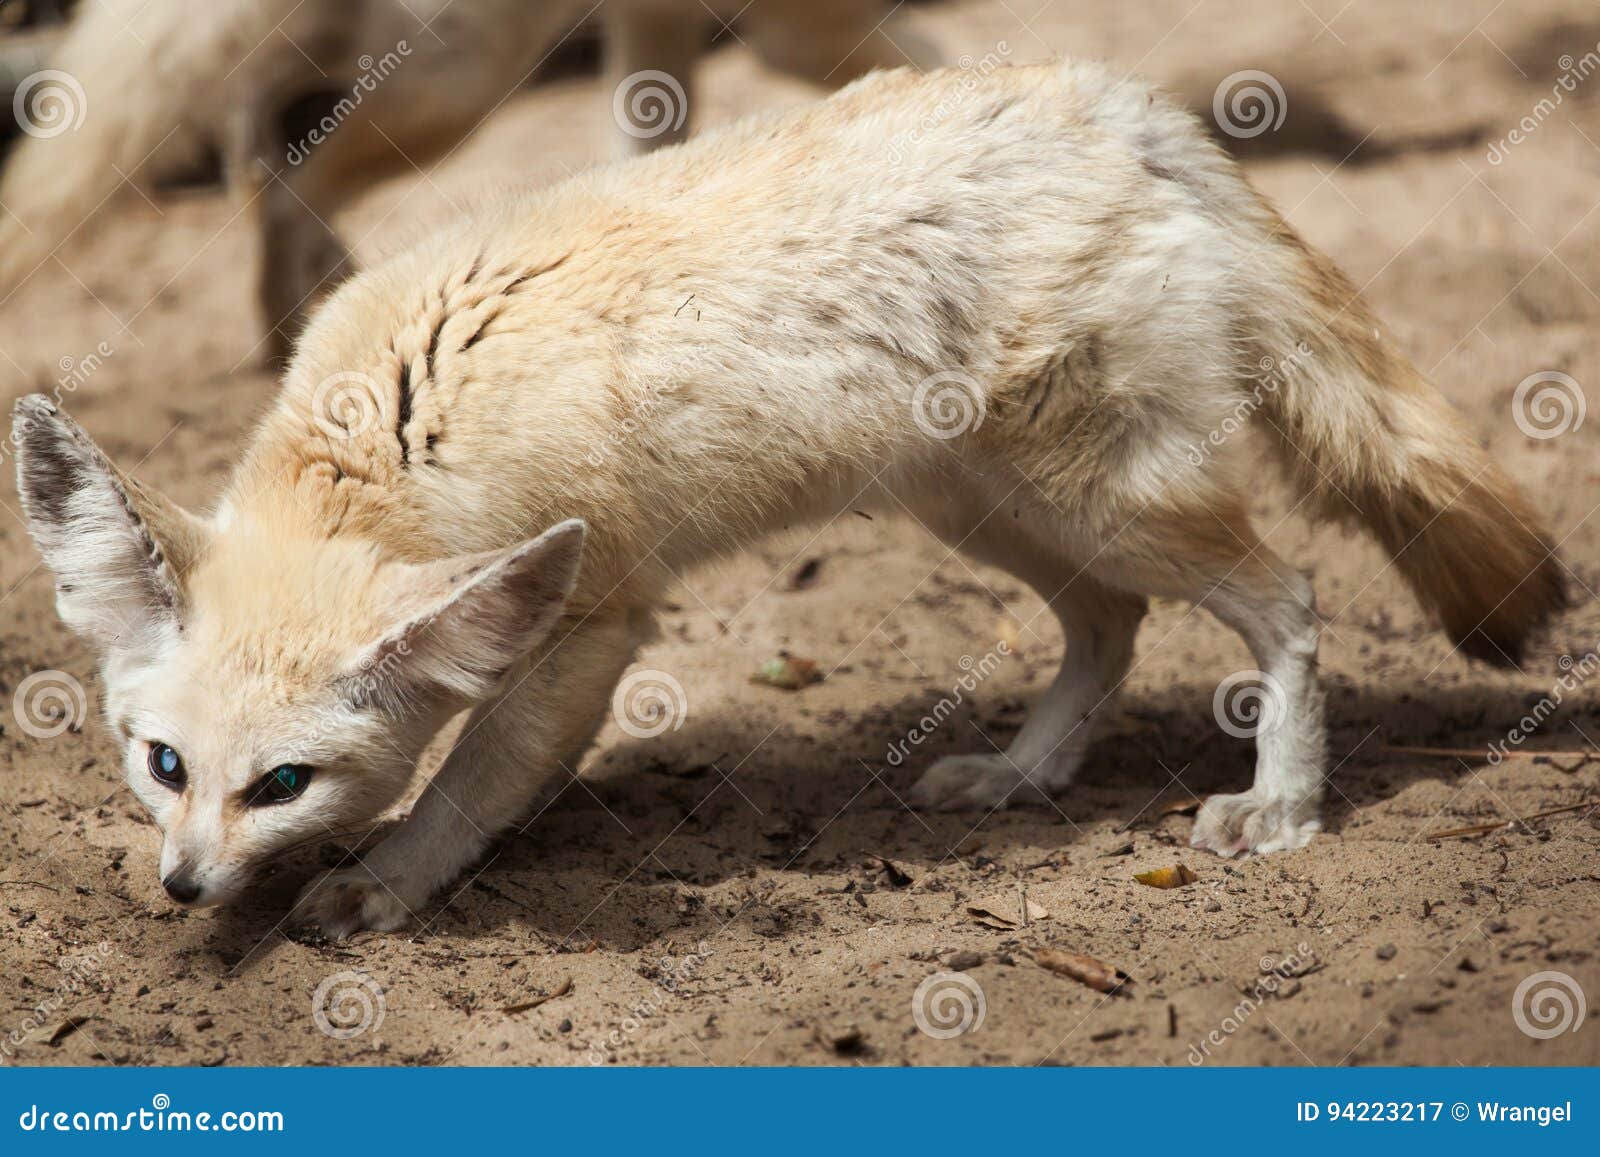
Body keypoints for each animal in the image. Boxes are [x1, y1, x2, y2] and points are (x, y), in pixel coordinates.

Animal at [0, 0, 937, 362]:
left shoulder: (657, 28)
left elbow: (649, 155)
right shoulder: (795, 29)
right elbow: (932, 60)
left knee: (261, 150)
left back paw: (296, 320)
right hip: (458, 84)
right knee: (287, 175)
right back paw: (306, 318)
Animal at [13, 60, 1565, 939]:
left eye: (283, 782)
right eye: (163, 766)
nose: (181, 888)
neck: (399, 433)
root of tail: (1117, 105)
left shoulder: (592, 622)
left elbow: (466, 791)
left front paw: (387, 883)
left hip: (1108, 500)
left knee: (1288, 599)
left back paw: (1283, 802)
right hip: (995, 511)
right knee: (1110, 625)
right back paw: (1026, 774)